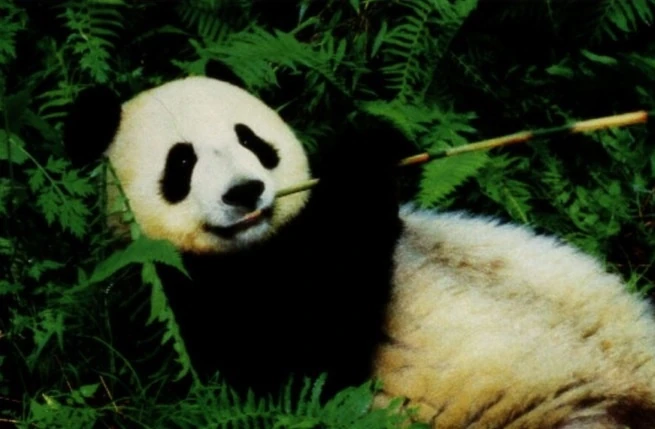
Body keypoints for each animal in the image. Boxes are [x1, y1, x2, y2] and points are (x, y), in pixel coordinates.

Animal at [64, 71, 655, 428]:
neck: (268, 244)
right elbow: (304, 362)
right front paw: (358, 160)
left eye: (250, 140)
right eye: (182, 162)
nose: (245, 191)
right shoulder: (176, 309)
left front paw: (379, 139)